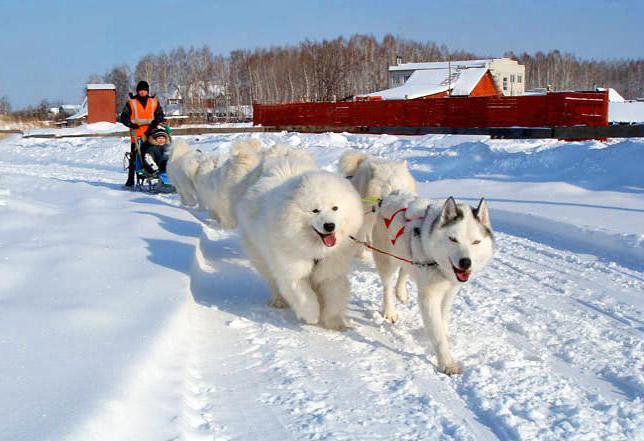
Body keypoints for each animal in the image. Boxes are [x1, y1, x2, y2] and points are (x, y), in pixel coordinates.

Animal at [238, 148, 368, 330]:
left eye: (335, 208)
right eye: (315, 210)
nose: (329, 226)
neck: (315, 249)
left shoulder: (331, 269)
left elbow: (334, 295)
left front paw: (335, 322)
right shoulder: (292, 268)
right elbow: (304, 294)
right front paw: (312, 315)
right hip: (261, 255)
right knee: (272, 280)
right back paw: (279, 301)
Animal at [370, 192, 496, 374]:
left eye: (476, 242)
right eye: (453, 239)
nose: (466, 262)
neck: (438, 264)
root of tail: (391, 195)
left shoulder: (449, 292)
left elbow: (442, 320)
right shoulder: (429, 297)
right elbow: (437, 333)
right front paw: (447, 363)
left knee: (404, 271)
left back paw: (401, 293)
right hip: (386, 259)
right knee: (387, 285)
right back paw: (390, 311)